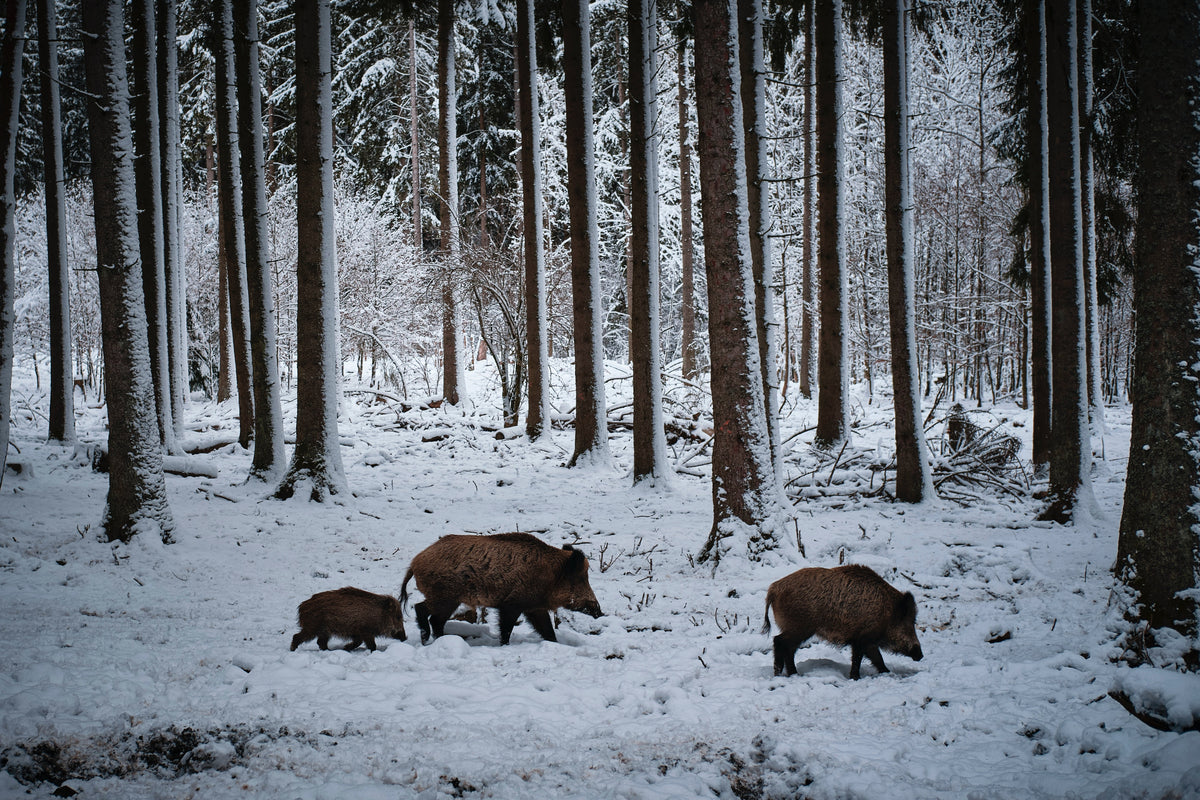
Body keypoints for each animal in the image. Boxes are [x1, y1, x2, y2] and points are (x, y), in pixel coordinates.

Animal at [400, 532, 603, 645]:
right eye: (580, 579)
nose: (600, 612)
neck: (550, 576)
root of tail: (415, 563)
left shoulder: (534, 608)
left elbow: (547, 629)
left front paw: (555, 643)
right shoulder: (511, 604)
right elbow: (506, 628)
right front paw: (504, 645)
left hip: (448, 600)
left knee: (435, 619)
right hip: (444, 597)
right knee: (422, 610)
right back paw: (427, 639)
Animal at [761, 564, 923, 679]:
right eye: (910, 622)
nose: (921, 655)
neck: (887, 613)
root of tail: (773, 589)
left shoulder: (865, 639)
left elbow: (874, 657)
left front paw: (885, 673)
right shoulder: (863, 638)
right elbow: (864, 658)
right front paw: (857, 677)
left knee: (787, 647)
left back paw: (790, 674)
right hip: (800, 626)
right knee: (780, 642)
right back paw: (786, 674)